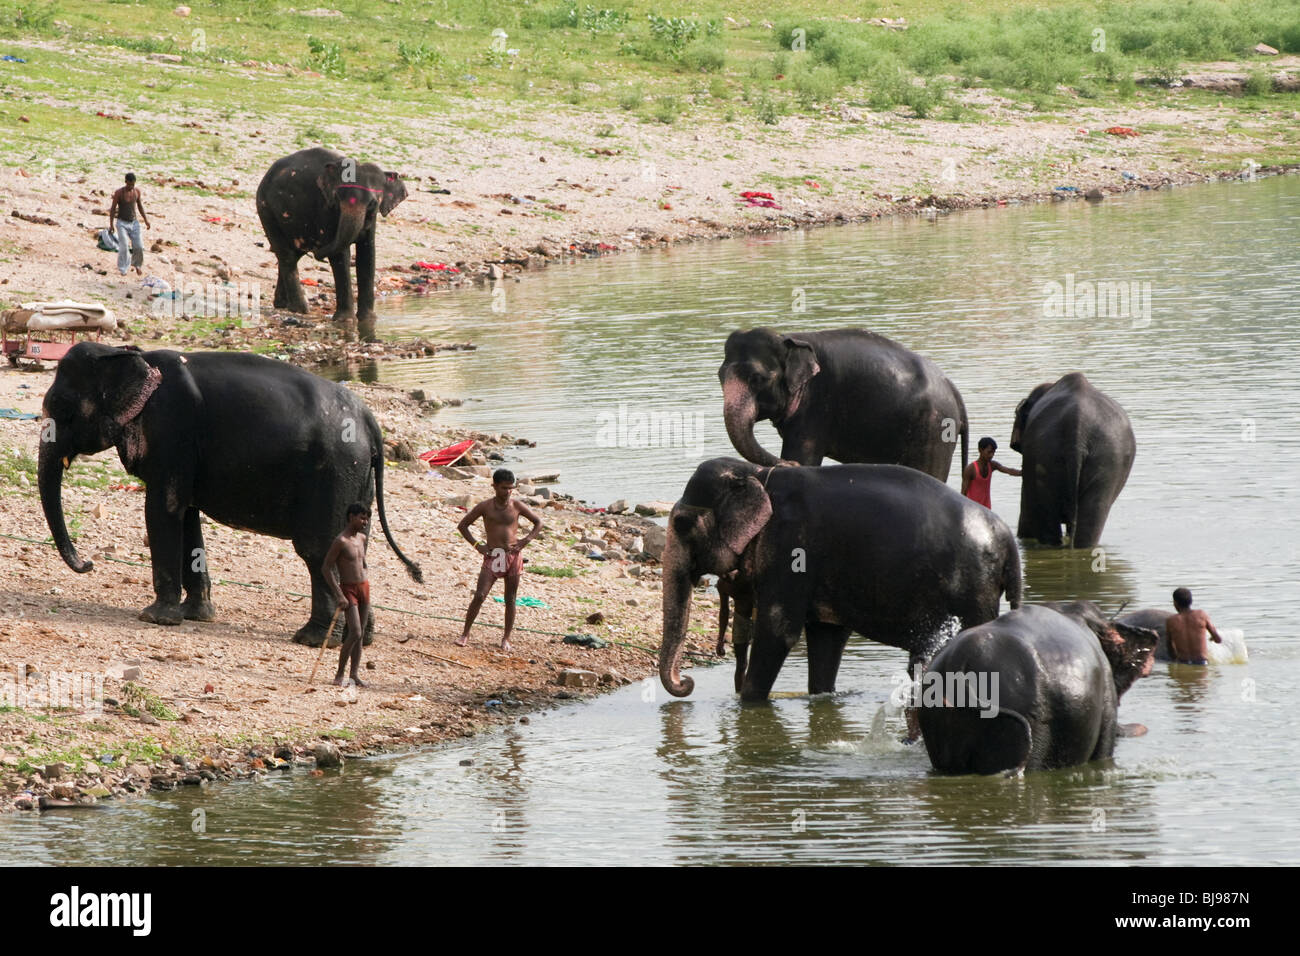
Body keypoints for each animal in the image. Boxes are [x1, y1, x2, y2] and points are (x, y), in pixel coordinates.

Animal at [38, 342, 422, 645]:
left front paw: (155, 617)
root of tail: (370, 422)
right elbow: (187, 515)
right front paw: (196, 615)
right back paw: (360, 638)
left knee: (318, 550)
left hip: (334, 474)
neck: (129, 355)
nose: (88, 564)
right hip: (357, 479)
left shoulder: (171, 432)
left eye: (63, 408)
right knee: (353, 549)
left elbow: (164, 508)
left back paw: (312, 638)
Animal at [256, 147, 407, 338]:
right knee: (287, 255)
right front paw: (346, 321)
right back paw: (300, 309)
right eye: (337, 198)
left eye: (373, 204)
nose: (318, 252)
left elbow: (367, 254)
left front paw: (368, 321)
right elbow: (341, 255)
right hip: (266, 208)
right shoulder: (325, 209)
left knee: (291, 255)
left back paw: (283, 305)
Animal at [659, 458, 1022, 703]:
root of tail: (1009, 542)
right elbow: (826, 636)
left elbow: (778, 631)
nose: (687, 682)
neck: (759, 473)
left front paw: (748, 704)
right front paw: (822, 696)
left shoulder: (790, 548)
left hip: (972, 590)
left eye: (681, 523)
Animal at [719, 327, 968, 480]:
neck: (789, 337)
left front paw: (796, 463)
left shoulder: (816, 407)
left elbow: (804, 456)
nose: (787, 465)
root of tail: (955, 392)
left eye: (757, 379)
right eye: (720, 376)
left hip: (934, 431)